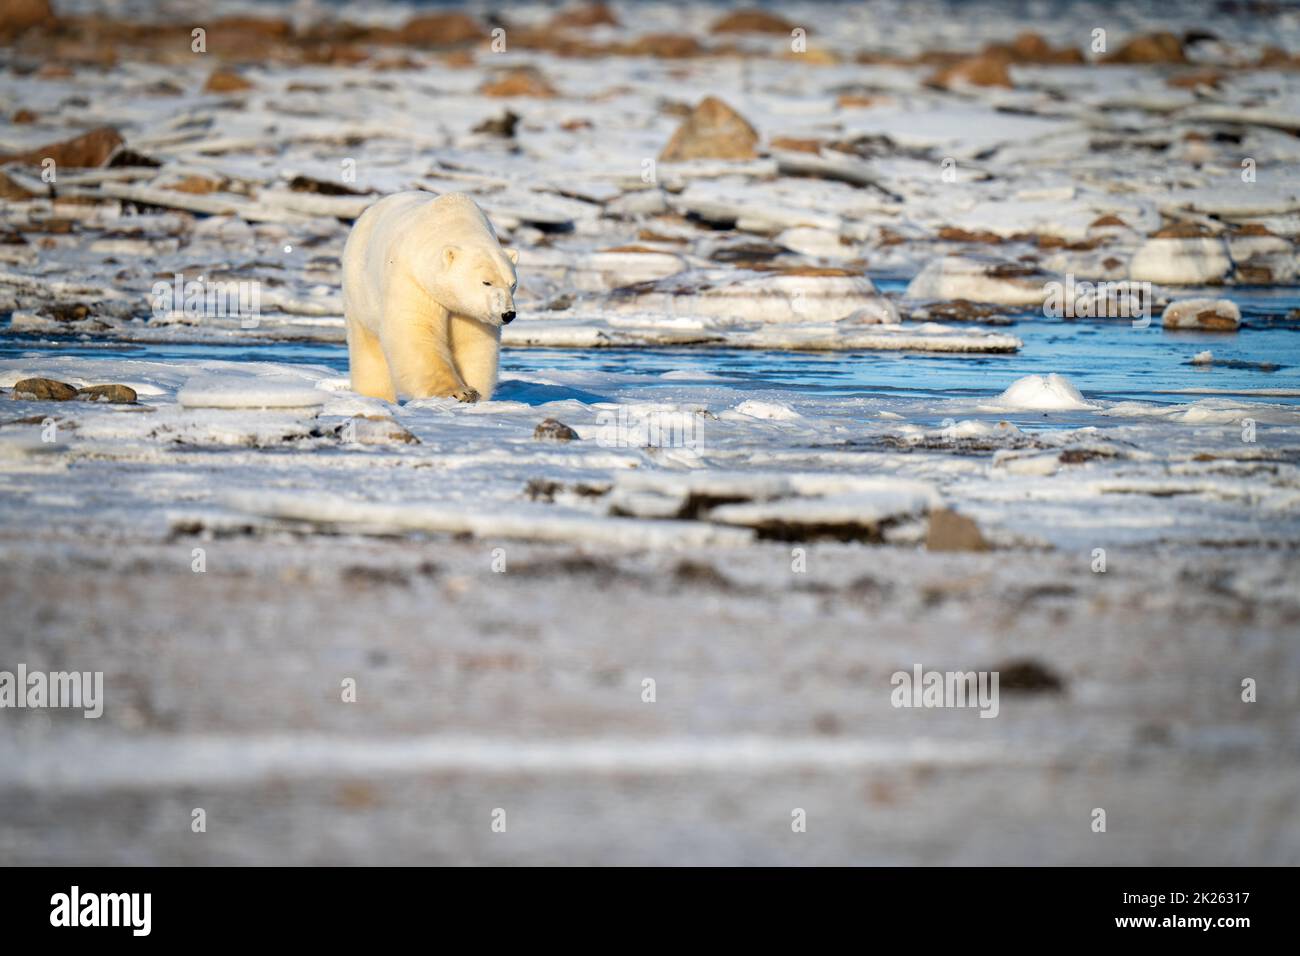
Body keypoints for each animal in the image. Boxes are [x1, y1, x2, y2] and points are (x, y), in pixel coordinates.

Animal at [342, 191, 518, 403]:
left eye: (512, 284)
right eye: (486, 282)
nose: (508, 314)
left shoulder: (469, 311)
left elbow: (473, 341)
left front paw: (475, 392)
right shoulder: (412, 279)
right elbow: (416, 332)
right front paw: (457, 391)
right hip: (359, 290)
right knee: (367, 347)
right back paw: (376, 396)